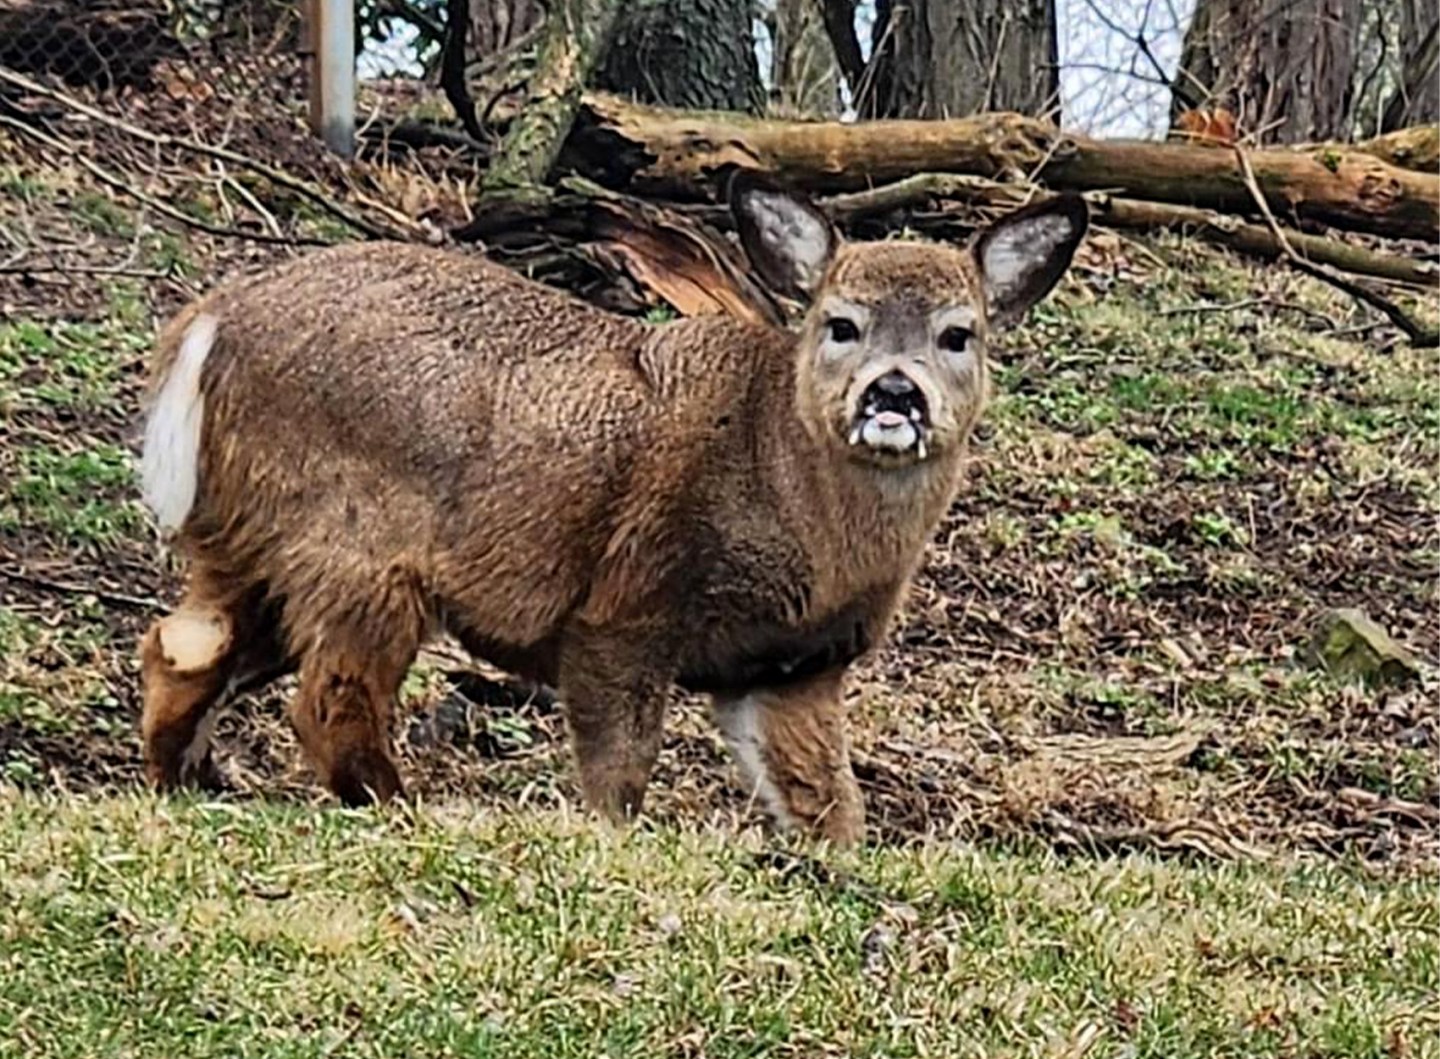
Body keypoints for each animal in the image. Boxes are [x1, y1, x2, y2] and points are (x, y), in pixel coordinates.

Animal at [137, 173, 1088, 845]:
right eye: (840, 323)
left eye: (958, 333)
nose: (894, 392)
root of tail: (208, 325)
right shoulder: (627, 606)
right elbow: (618, 775)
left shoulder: (789, 667)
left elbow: (829, 806)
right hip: (360, 541)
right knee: (325, 695)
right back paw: (395, 802)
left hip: (254, 539)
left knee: (183, 645)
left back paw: (192, 782)